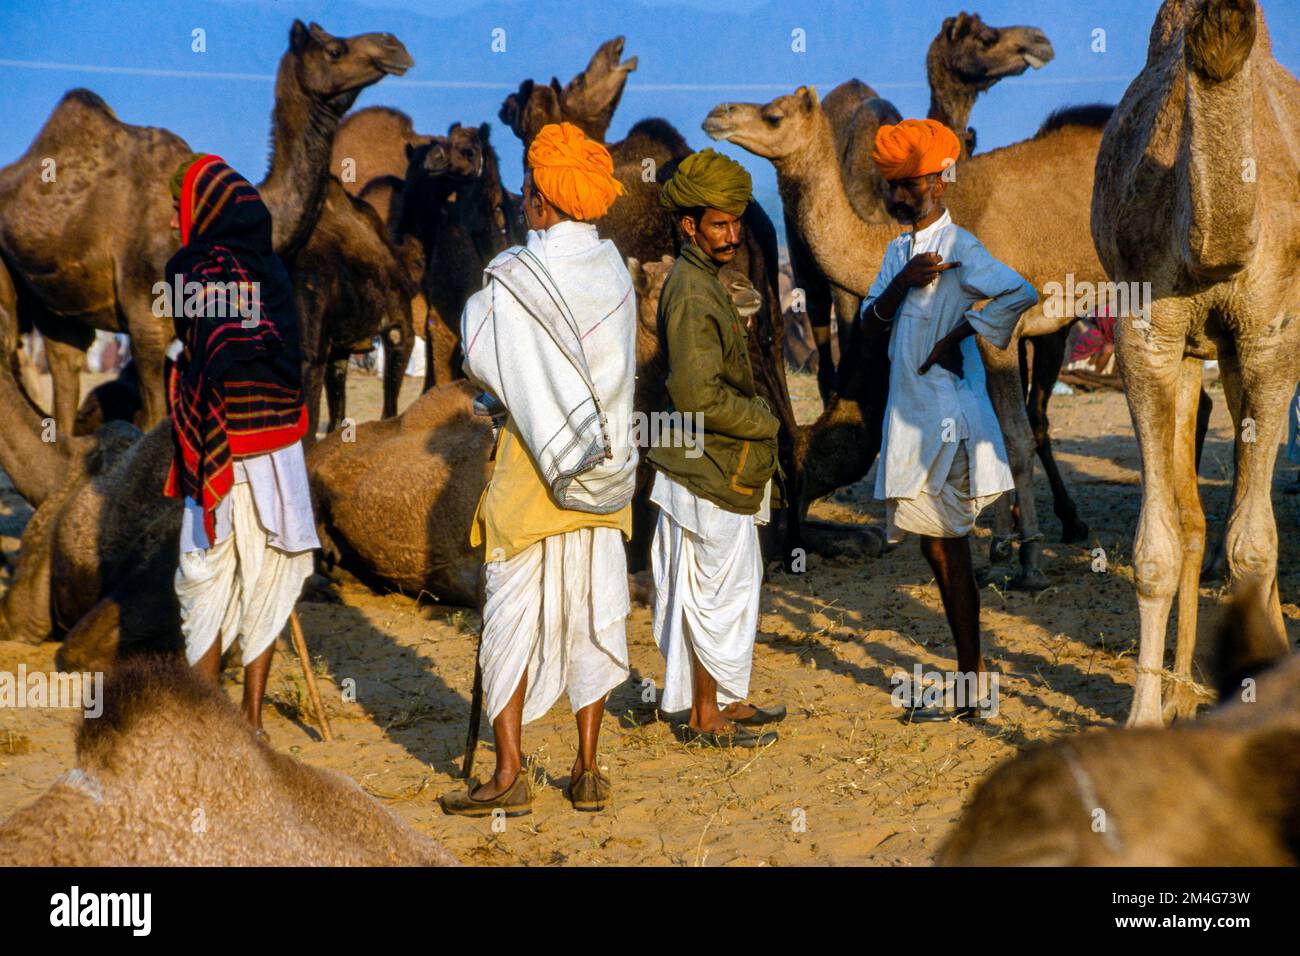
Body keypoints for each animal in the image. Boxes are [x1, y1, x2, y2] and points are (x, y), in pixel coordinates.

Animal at [0, 21, 412, 434]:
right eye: (334, 50)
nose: (395, 45)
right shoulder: (146, 321)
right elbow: (154, 417)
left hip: (57, 307)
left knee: (64, 372)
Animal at [706, 86, 1112, 586]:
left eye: (773, 116)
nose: (715, 115)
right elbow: (993, 435)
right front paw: (998, 551)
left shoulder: (998, 324)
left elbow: (1015, 440)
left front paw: (1030, 561)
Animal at [1091, 0, 1300, 726]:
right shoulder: (1147, 334)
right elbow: (1156, 546)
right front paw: (1144, 717)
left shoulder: (1271, 335)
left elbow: (1254, 545)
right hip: (1195, 359)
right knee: (1191, 520)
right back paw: (1180, 692)